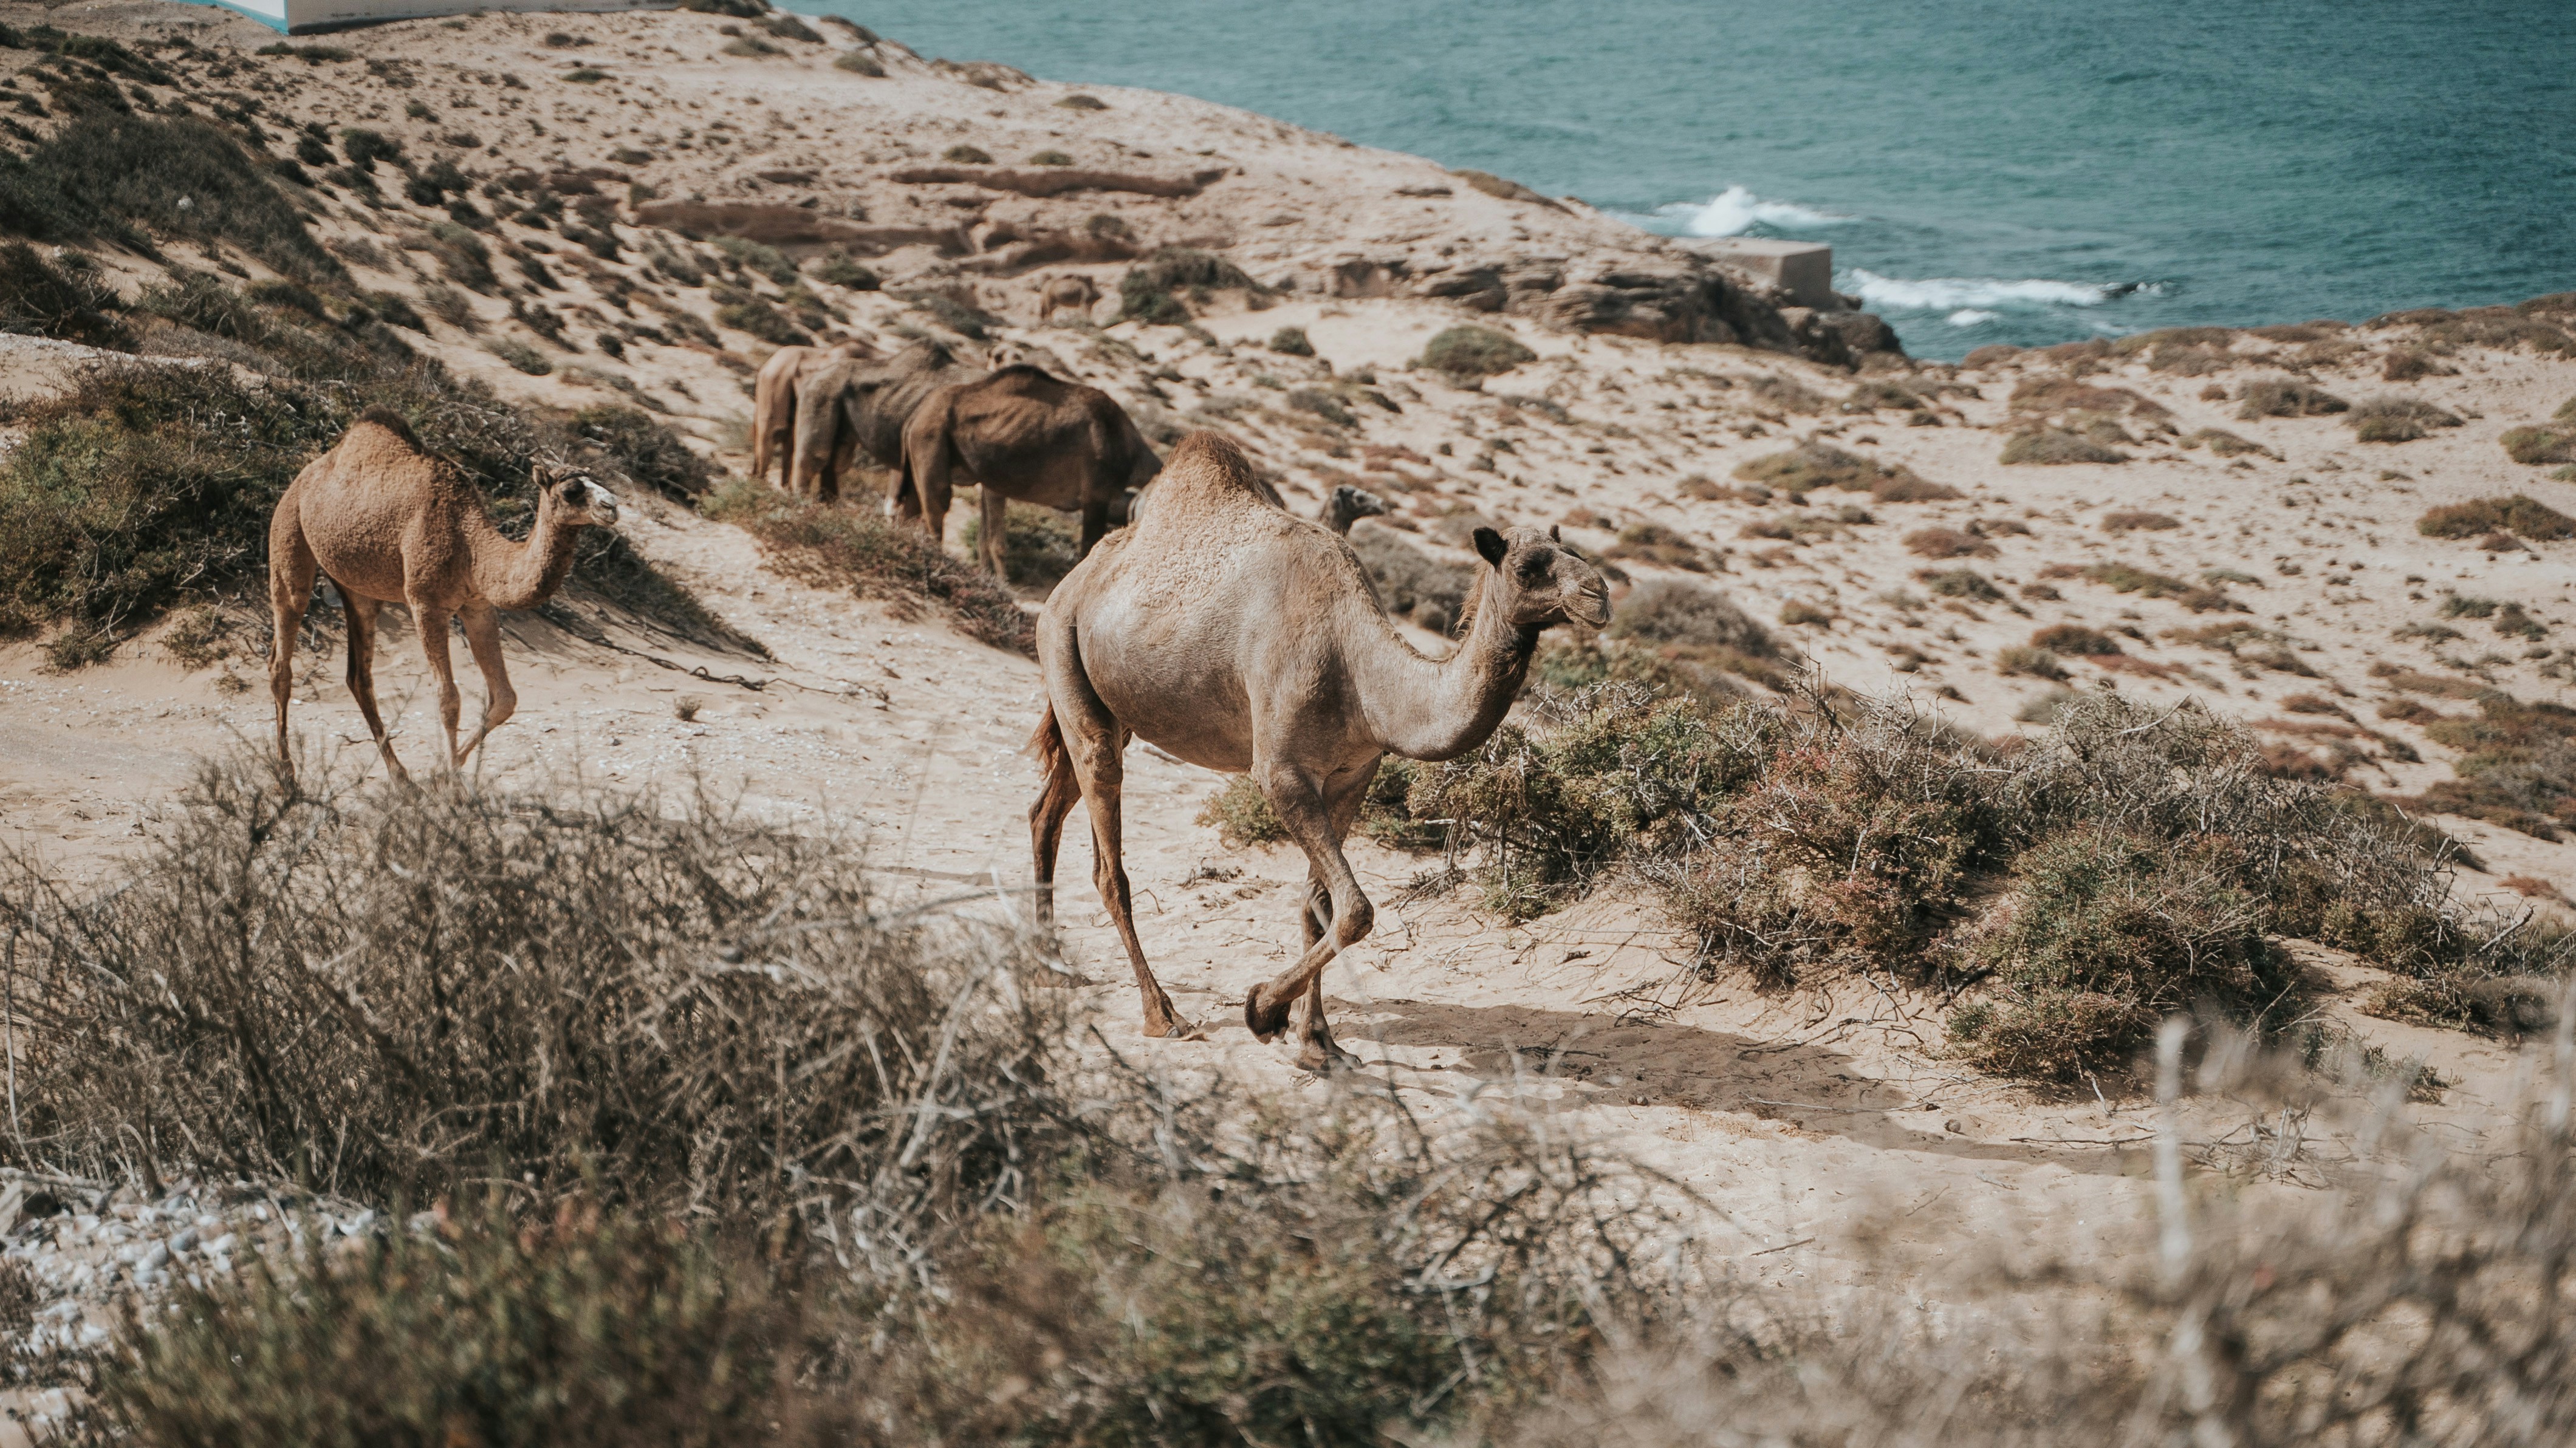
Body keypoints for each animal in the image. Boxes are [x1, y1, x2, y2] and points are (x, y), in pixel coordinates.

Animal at [268, 409, 621, 781]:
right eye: (572, 491)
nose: (612, 506)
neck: (471, 548)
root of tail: (305, 474)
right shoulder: (427, 604)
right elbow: (448, 699)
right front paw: (452, 783)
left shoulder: (478, 606)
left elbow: (505, 698)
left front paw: (441, 773)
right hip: (289, 531)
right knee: (283, 652)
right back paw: (288, 775)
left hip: (359, 589)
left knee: (359, 676)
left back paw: (402, 779)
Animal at [899, 364, 1162, 577]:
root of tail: (915, 416)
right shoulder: (1096, 496)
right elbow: (1087, 551)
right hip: (930, 439)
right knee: (936, 511)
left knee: (911, 509)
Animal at [1026, 432, 1608, 1067]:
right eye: (1529, 567)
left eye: (1574, 551)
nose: (1599, 593)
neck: (1361, 672)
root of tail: (1076, 577)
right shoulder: (1281, 772)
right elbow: (1354, 909)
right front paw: (1262, 1011)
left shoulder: (1352, 775)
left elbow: (1317, 903)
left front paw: (1318, 1043)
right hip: (1063, 650)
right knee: (1109, 862)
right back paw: (1163, 1015)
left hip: (1111, 704)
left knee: (1045, 813)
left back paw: (1050, 966)